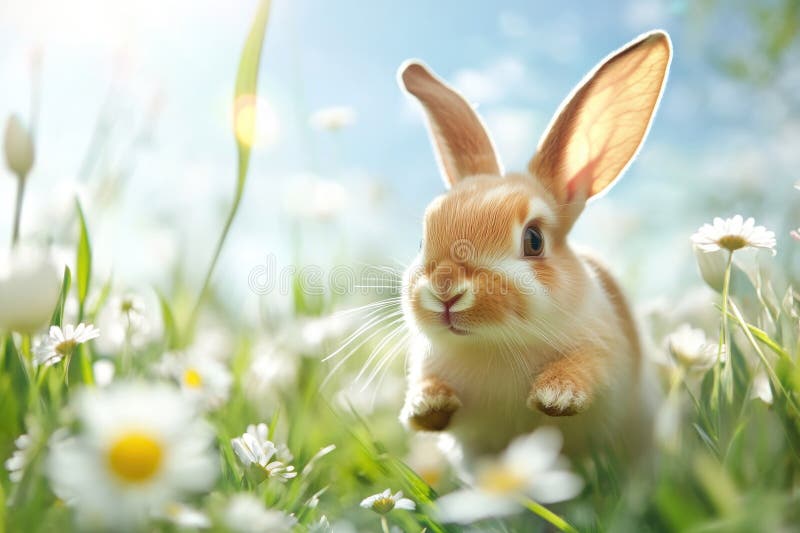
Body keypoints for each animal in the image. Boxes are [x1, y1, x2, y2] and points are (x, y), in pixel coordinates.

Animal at [397, 30, 672, 460]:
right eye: (422, 239)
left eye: (534, 240)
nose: (445, 289)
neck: (493, 345)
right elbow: (428, 387)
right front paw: (427, 408)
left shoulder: (603, 350)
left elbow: (586, 367)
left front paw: (555, 396)